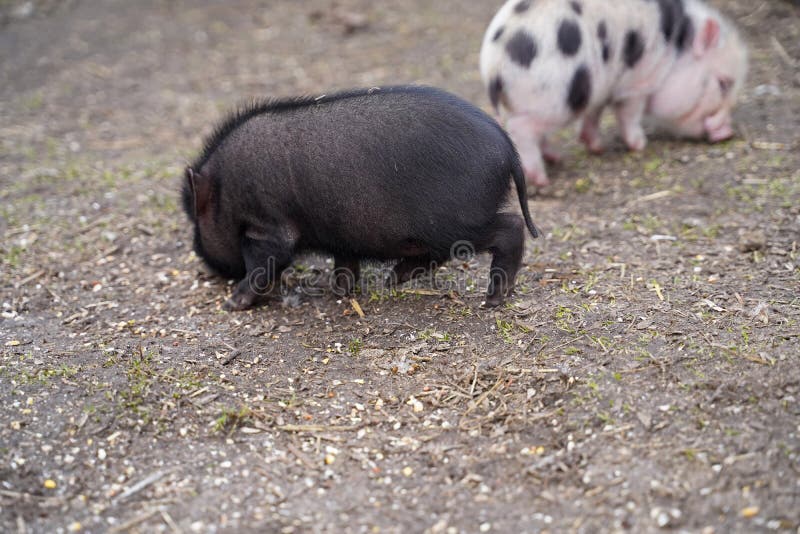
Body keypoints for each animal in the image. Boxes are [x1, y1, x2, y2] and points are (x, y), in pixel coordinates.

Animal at [182, 85, 541, 311]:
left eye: (195, 218)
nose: (199, 255)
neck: (226, 191)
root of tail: (509, 150)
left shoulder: (268, 228)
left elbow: (263, 264)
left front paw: (231, 305)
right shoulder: (341, 234)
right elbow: (345, 264)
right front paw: (340, 291)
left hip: (454, 222)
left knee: (510, 227)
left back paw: (493, 299)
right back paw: (393, 279)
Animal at [480, 0, 748, 186]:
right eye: (724, 83)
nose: (727, 132)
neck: (673, 49)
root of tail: (494, 67)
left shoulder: (602, 88)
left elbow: (595, 114)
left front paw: (597, 148)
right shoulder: (638, 82)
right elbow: (629, 114)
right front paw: (639, 145)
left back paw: (557, 158)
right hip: (552, 102)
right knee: (521, 130)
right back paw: (541, 179)